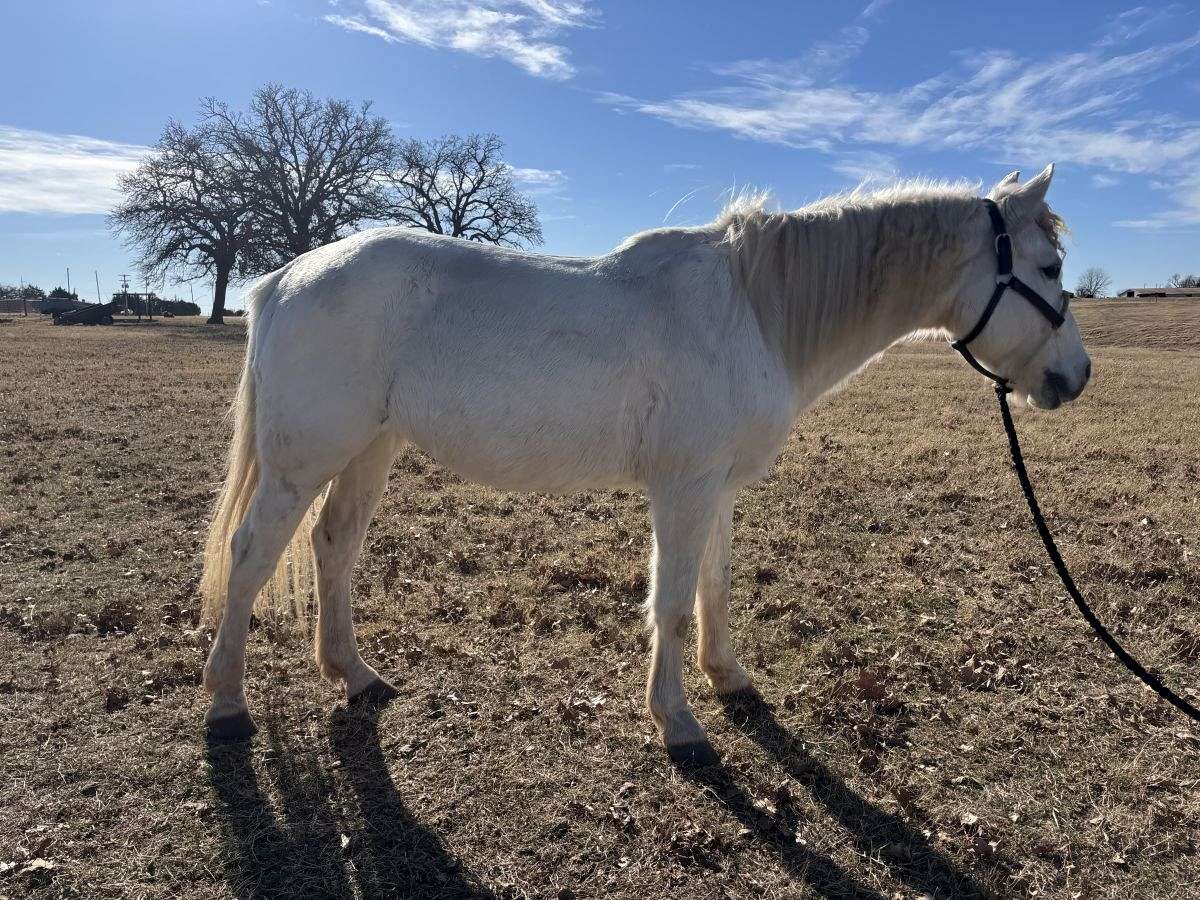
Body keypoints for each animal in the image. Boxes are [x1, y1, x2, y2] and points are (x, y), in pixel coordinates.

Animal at [199, 164, 1090, 766]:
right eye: (1046, 270)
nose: (1075, 377)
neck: (752, 311)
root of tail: (287, 275)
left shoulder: (718, 488)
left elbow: (713, 587)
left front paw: (728, 678)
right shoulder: (683, 487)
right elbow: (669, 600)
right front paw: (680, 723)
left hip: (370, 449)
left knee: (334, 546)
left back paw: (354, 674)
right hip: (304, 460)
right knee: (250, 557)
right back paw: (227, 702)